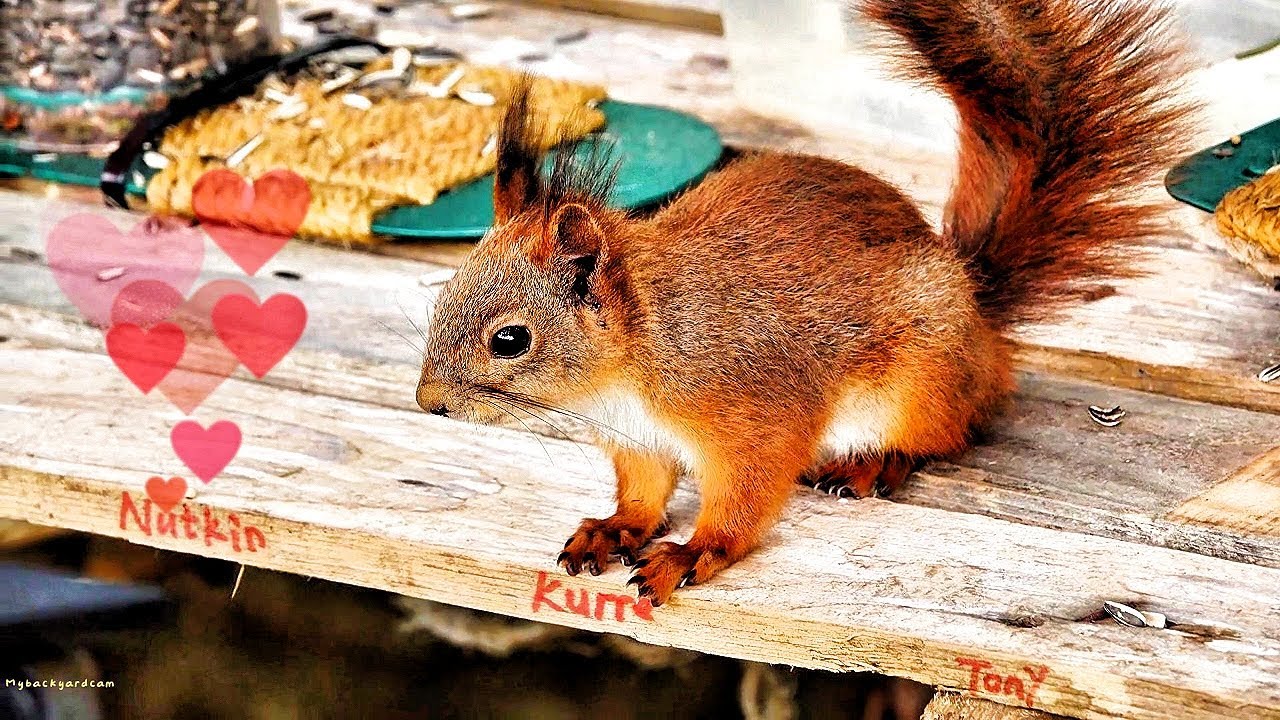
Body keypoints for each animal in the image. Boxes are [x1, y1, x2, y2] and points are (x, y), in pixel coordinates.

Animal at [416, 0, 1195, 606]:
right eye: (442, 296)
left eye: (510, 339)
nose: (428, 404)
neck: (631, 363)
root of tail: (977, 311)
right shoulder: (640, 442)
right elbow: (643, 493)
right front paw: (615, 530)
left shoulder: (753, 416)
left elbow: (746, 498)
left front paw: (691, 552)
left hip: (921, 380)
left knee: (949, 434)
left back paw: (873, 465)